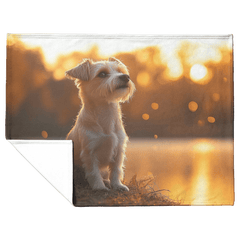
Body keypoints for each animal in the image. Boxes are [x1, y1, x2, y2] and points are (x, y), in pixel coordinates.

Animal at [65, 57, 135, 190]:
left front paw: (117, 185)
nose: (126, 77)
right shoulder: (90, 152)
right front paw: (99, 187)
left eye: (120, 71)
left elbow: (116, 170)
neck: (106, 110)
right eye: (102, 74)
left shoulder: (119, 150)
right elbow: (93, 172)